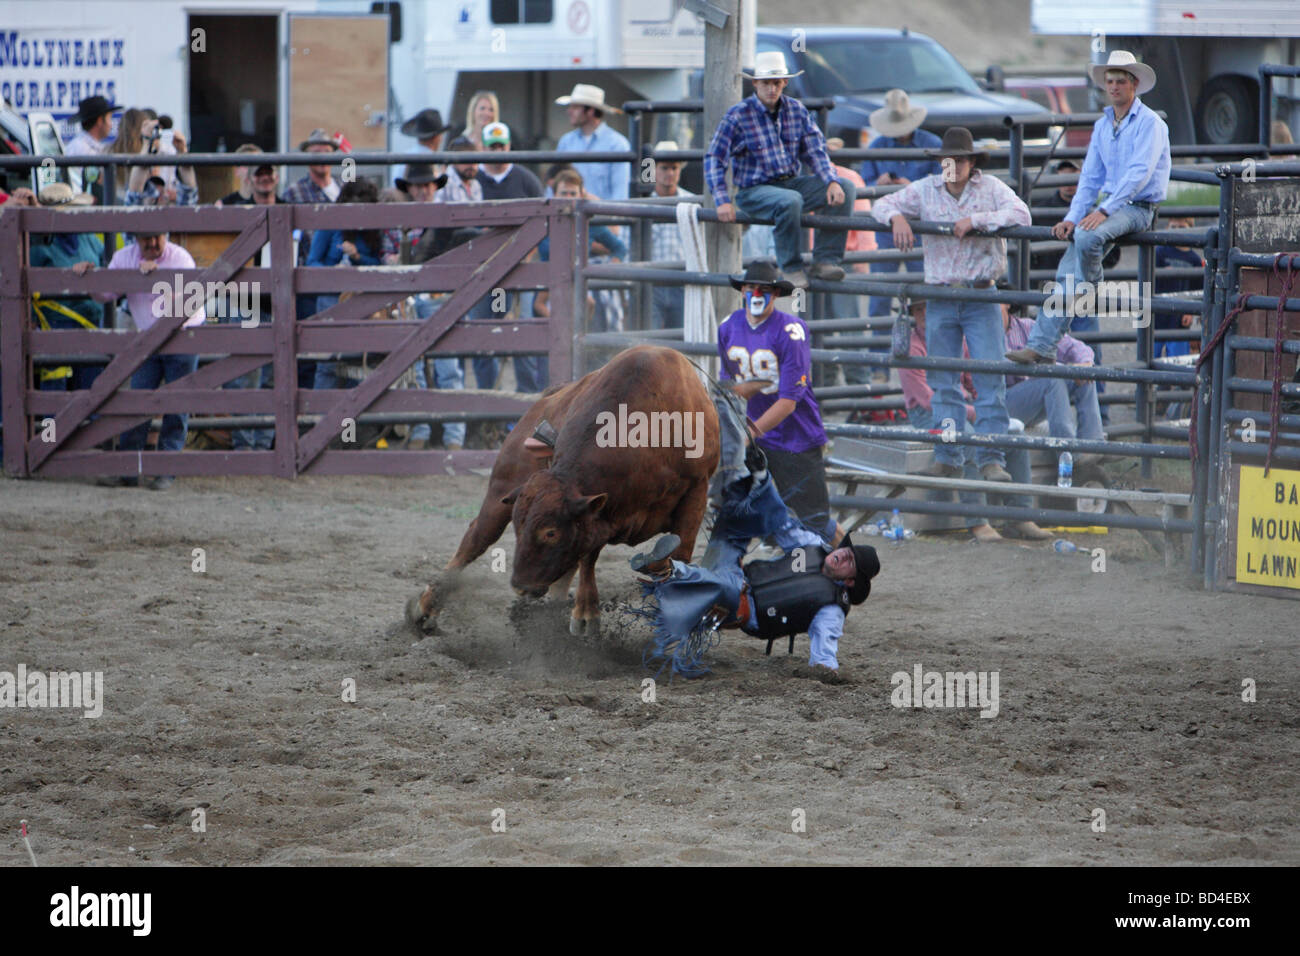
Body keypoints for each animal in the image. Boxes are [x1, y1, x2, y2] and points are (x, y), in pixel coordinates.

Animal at [406, 345, 720, 637]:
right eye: (519, 528)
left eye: (551, 533)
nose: (520, 587)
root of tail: (543, 401)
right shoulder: (598, 511)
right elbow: (588, 553)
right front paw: (586, 613)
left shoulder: (696, 491)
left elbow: (678, 553)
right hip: (501, 493)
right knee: (475, 540)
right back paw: (426, 607)